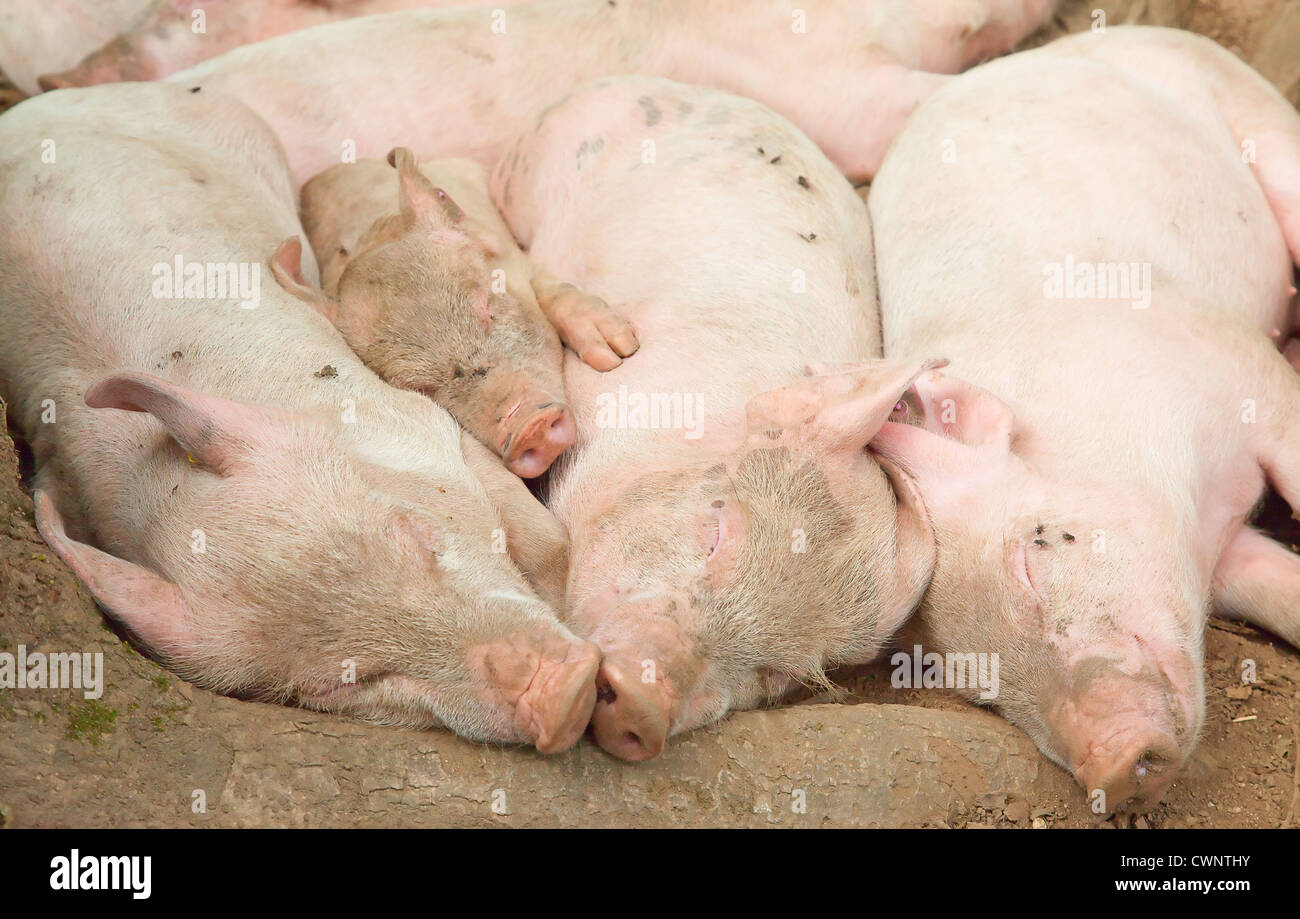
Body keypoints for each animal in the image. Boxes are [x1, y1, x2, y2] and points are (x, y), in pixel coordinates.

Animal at [867, 25, 1300, 812]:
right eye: (985, 694)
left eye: (1037, 550)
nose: (1110, 760)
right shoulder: (1222, 559)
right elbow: (1277, 587)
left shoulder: (1243, 369)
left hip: (1253, 110)